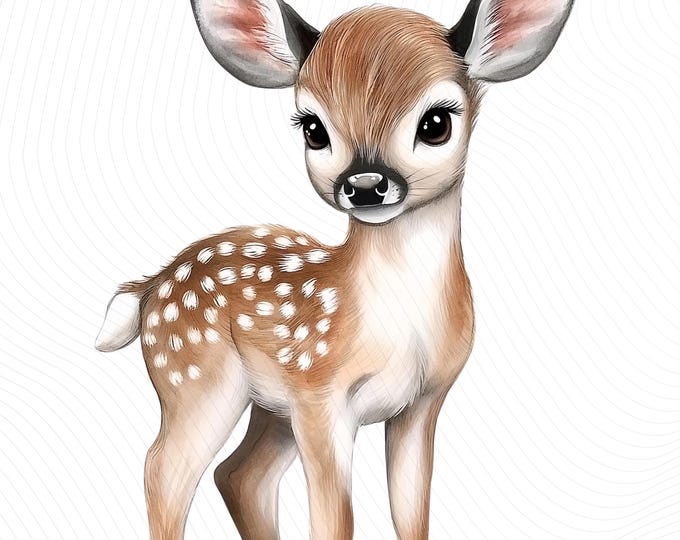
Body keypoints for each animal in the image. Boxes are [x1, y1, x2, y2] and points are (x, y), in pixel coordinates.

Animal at [95, 1, 573, 538]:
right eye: (313, 129)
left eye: (436, 123)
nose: (365, 185)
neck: (396, 327)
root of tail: (153, 285)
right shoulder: (319, 394)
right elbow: (335, 517)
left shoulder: (423, 401)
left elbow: (411, 511)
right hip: (196, 373)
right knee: (163, 468)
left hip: (268, 405)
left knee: (239, 474)